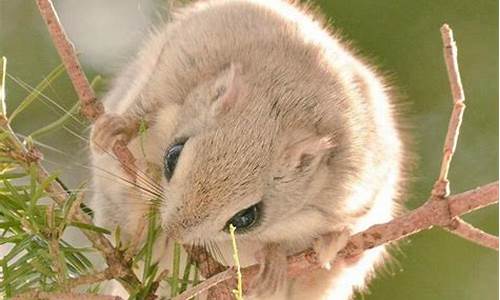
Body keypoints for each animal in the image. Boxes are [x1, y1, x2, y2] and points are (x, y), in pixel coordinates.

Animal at [90, 1, 408, 298]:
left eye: (245, 218)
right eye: (173, 156)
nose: (173, 231)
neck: (283, 104)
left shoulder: (350, 192)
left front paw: (279, 254)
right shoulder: (175, 66)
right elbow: (147, 105)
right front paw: (114, 129)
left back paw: (323, 252)